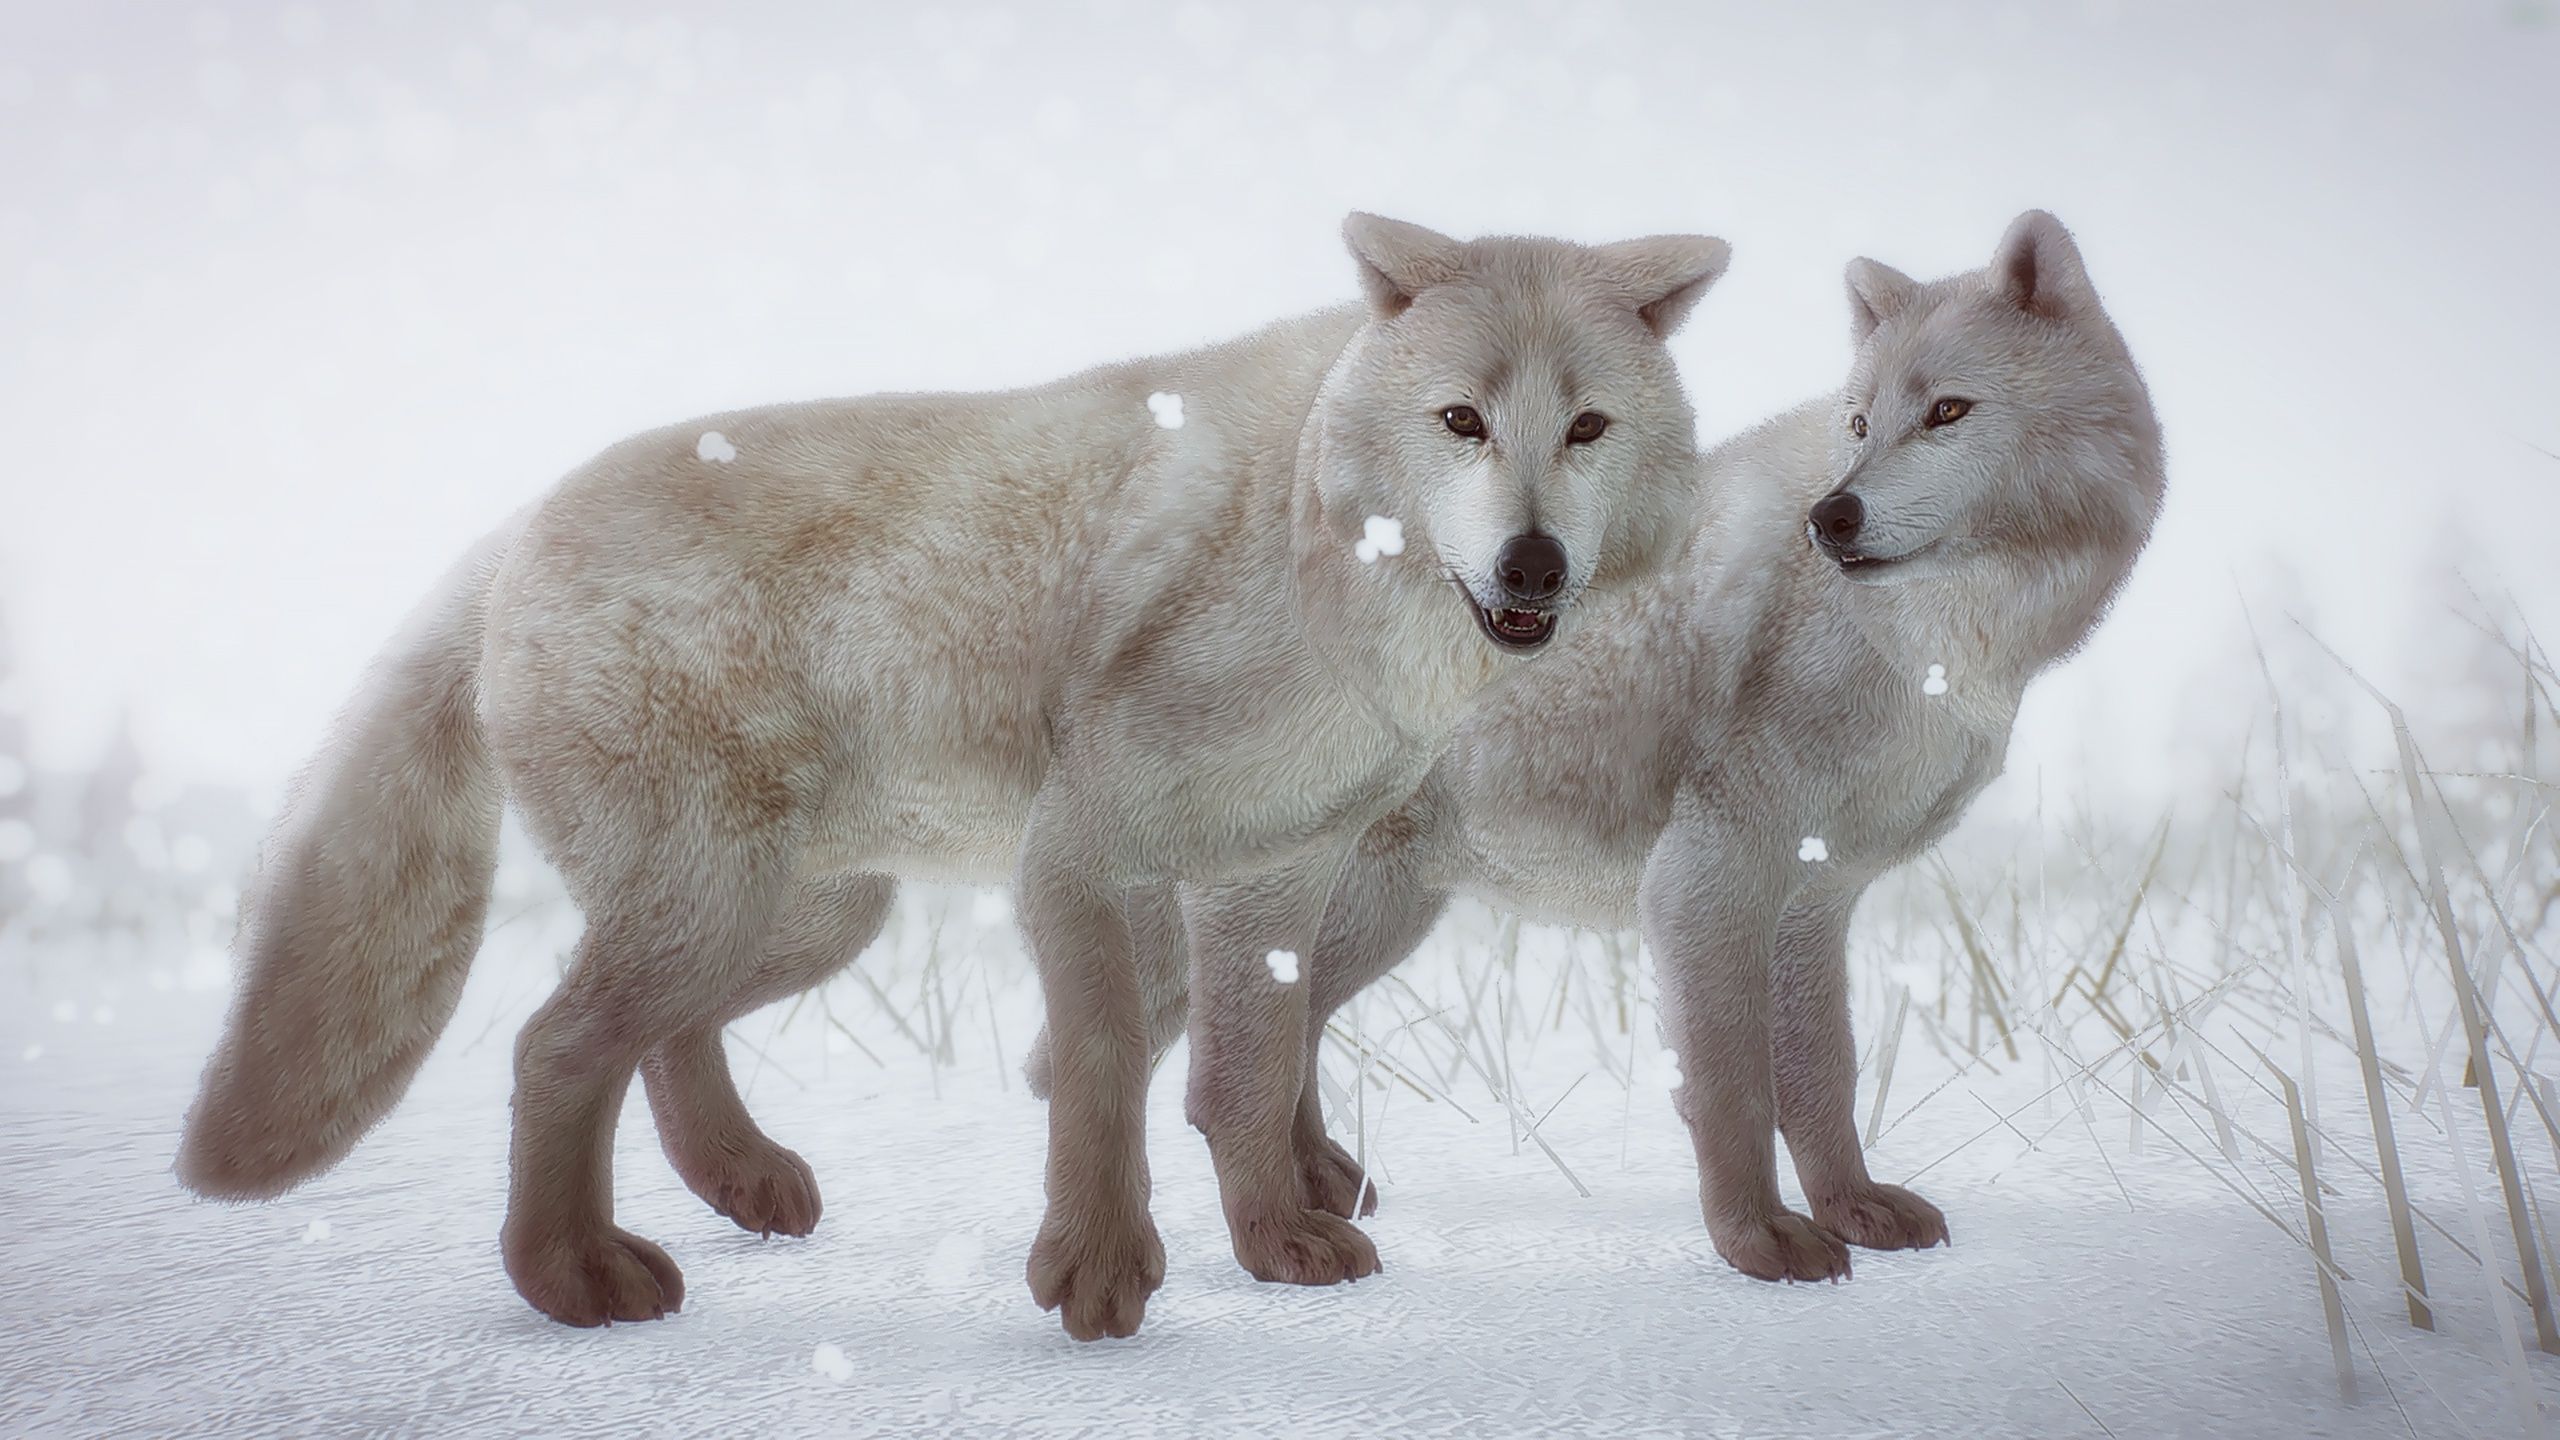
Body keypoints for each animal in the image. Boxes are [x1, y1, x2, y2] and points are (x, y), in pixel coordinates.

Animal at [175, 214, 1731, 1339]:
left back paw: (741, 1187)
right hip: (721, 902)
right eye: (1462, 421)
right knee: (550, 1046)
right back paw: (577, 1283)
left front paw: (1278, 1247)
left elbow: (1241, 1080)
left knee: (648, 1042)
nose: (1533, 566)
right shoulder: (1082, 859)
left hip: (807, 916)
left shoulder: (1269, 880)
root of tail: (516, 525)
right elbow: (1100, 1073)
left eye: (1585, 428)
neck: (1309, 547)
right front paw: (1097, 1279)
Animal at [1086, 210, 2163, 1283]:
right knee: (1195, 1068)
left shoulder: (1816, 901)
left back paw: (1321, 1189)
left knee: (1287, 1034)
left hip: (1377, 914)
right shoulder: (1707, 879)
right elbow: (1731, 1086)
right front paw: (1760, 1241)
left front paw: (1854, 1210)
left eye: (1946, 411)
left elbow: (1825, 1075)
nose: (1831, 517)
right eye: (1859, 424)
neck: (1923, 651)